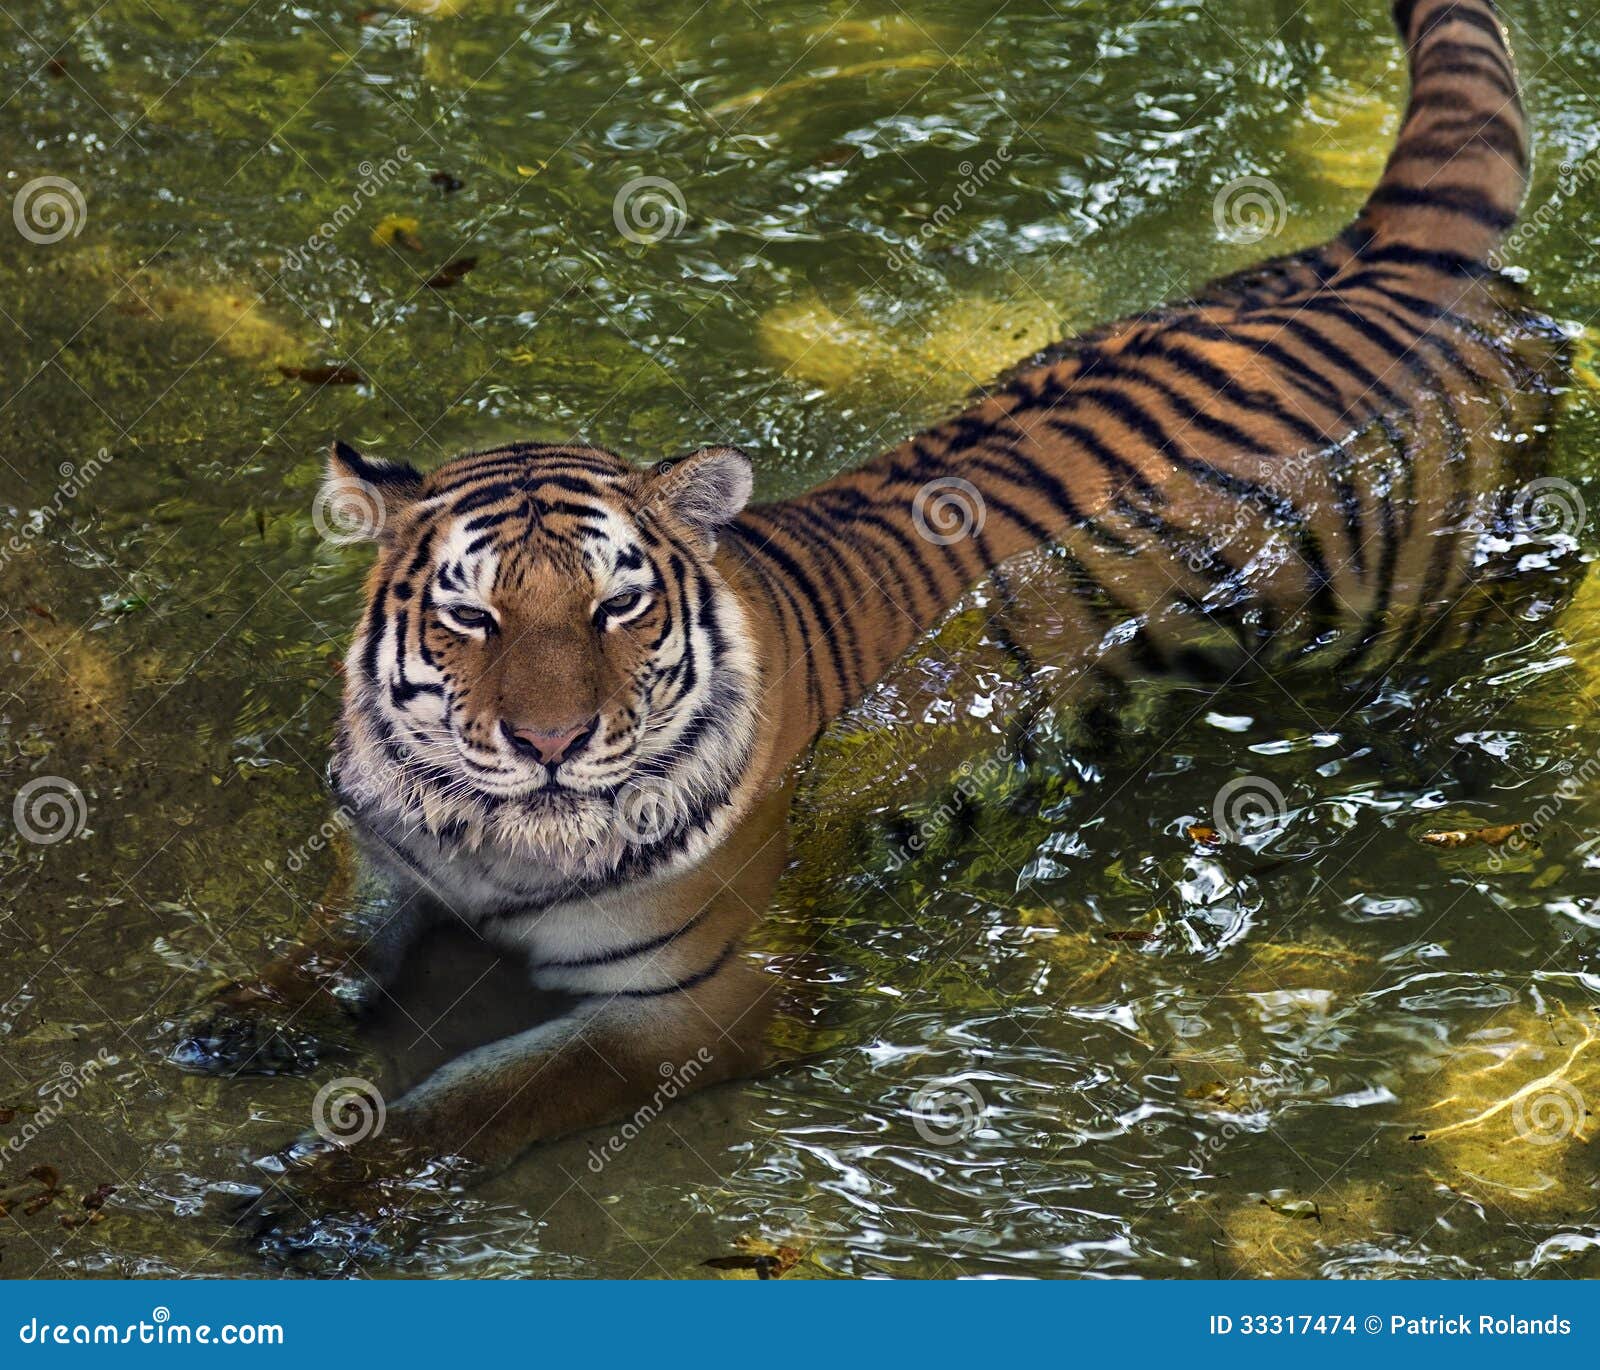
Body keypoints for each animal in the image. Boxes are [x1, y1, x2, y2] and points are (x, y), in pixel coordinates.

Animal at [182, 0, 1566, 1249]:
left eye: (617, 603)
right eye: (468, 613)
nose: (551, 744)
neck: (490, 844)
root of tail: (1382, 249)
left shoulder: (709, 1002)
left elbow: (489, 1089)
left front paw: (333, 1194)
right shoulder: (385, 845)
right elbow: (340, 923)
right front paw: (249, 1012)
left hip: (1414, 595)